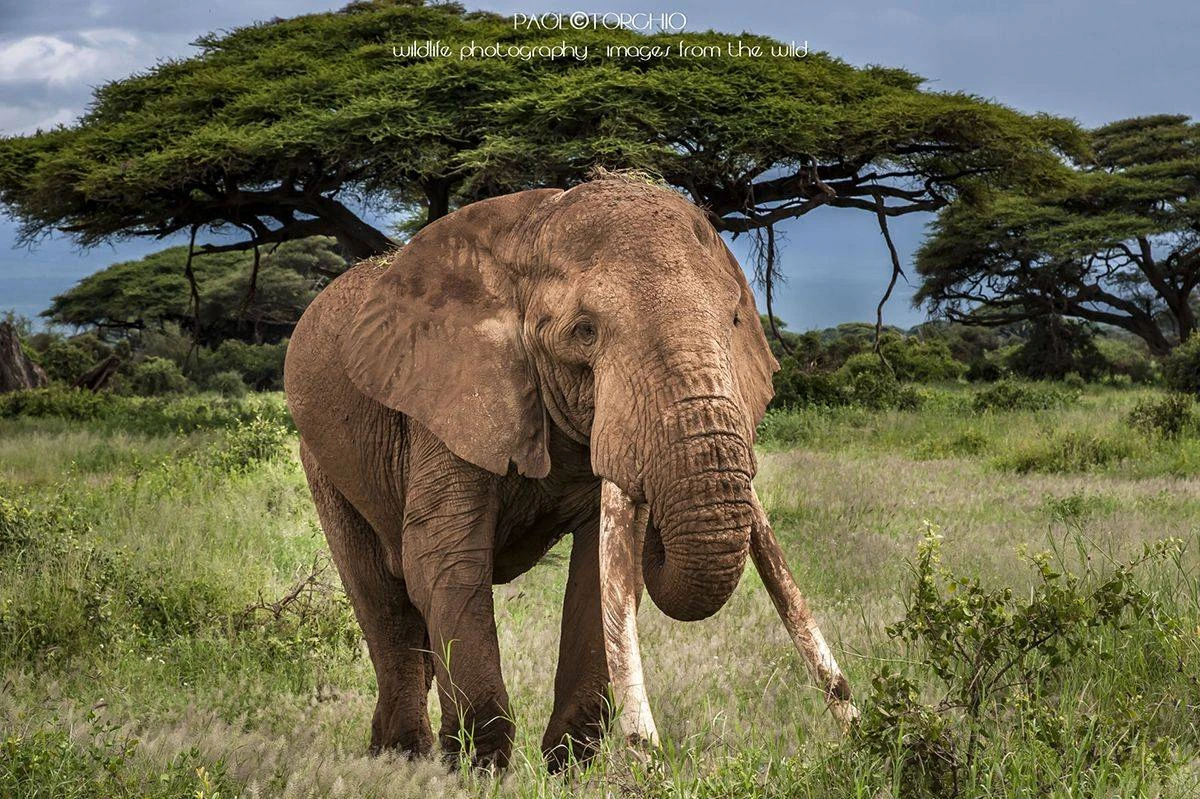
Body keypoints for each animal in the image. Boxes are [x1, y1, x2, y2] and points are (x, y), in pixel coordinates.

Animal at [283, 177, 855, 771]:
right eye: (585, 332)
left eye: (735, 322)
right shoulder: (443, 402)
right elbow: (445, 560)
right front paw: (477, 771)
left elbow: (599, 575)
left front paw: (565, 770)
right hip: (322, 461)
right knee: (385, 600)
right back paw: (402, 759)